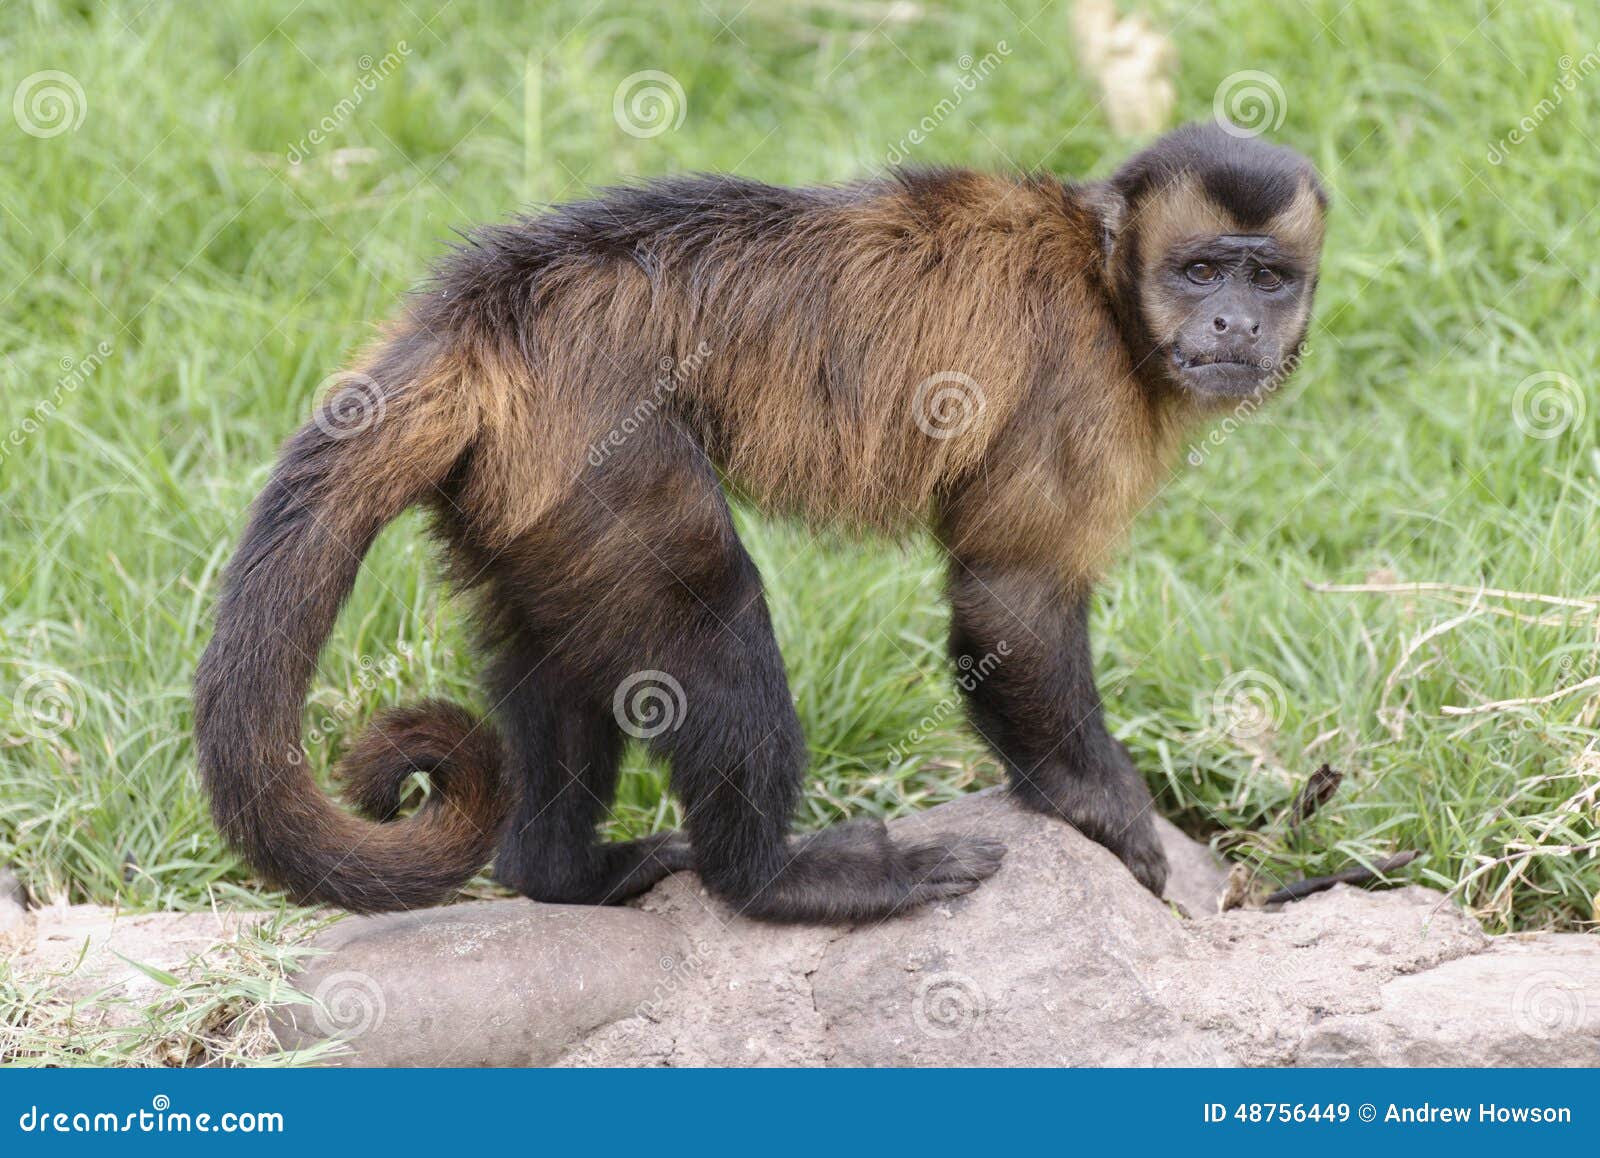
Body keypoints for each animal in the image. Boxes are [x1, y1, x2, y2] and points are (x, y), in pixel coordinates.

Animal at [193, 121, 1325, 922]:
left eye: (1267, 278)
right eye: (1199, 271)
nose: (1234, 323)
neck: (1106, 287)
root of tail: (481, 317)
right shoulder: (1081, 386)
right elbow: (1011, 597)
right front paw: (1104, 810)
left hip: (521, 489)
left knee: (561, 648)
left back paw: (559, 876)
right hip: (596, 437)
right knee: (703, 601)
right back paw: (774, 881)